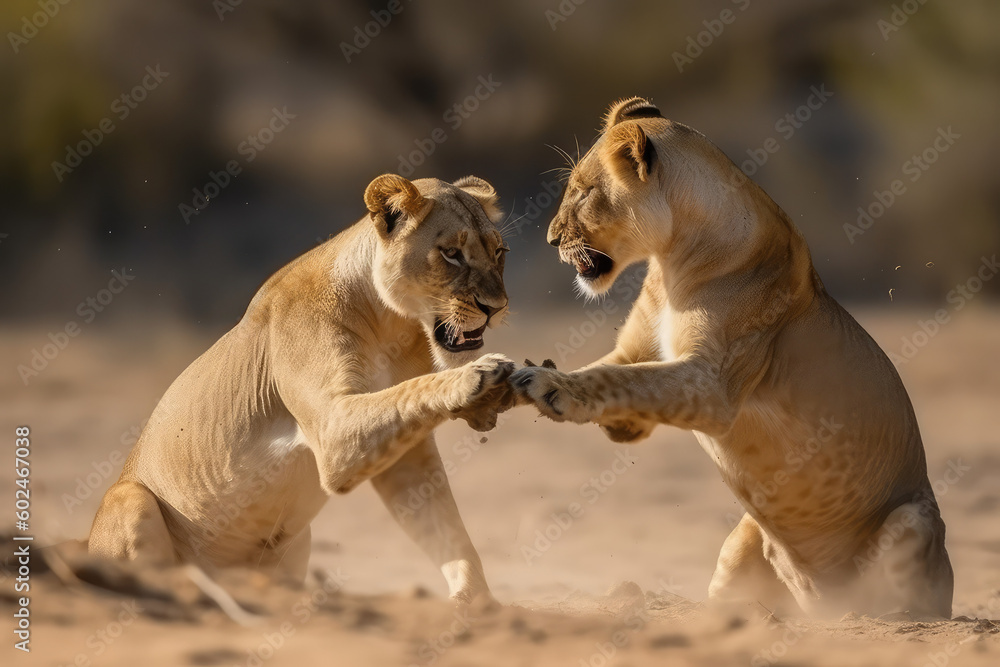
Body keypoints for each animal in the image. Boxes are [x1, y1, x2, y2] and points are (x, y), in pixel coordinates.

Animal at [89, 174, 515, 603]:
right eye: (451, 253)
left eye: (499, 252)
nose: (496, 307)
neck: (394, 326)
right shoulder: (333, 432)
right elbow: (415, 389)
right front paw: (479, 380)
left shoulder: (404, 455)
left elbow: (446, 527)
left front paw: (474, 599)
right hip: (129, 498)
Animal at [511, 97, 954, 619]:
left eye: (583, 193)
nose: (550, 240)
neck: (672, 259)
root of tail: (825, 606)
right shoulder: (634, 350)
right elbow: (609, 373)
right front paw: (535, 378)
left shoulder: (711, 383)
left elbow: (624, 382)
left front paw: (548, 385)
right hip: (741, 540)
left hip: (913, 521)